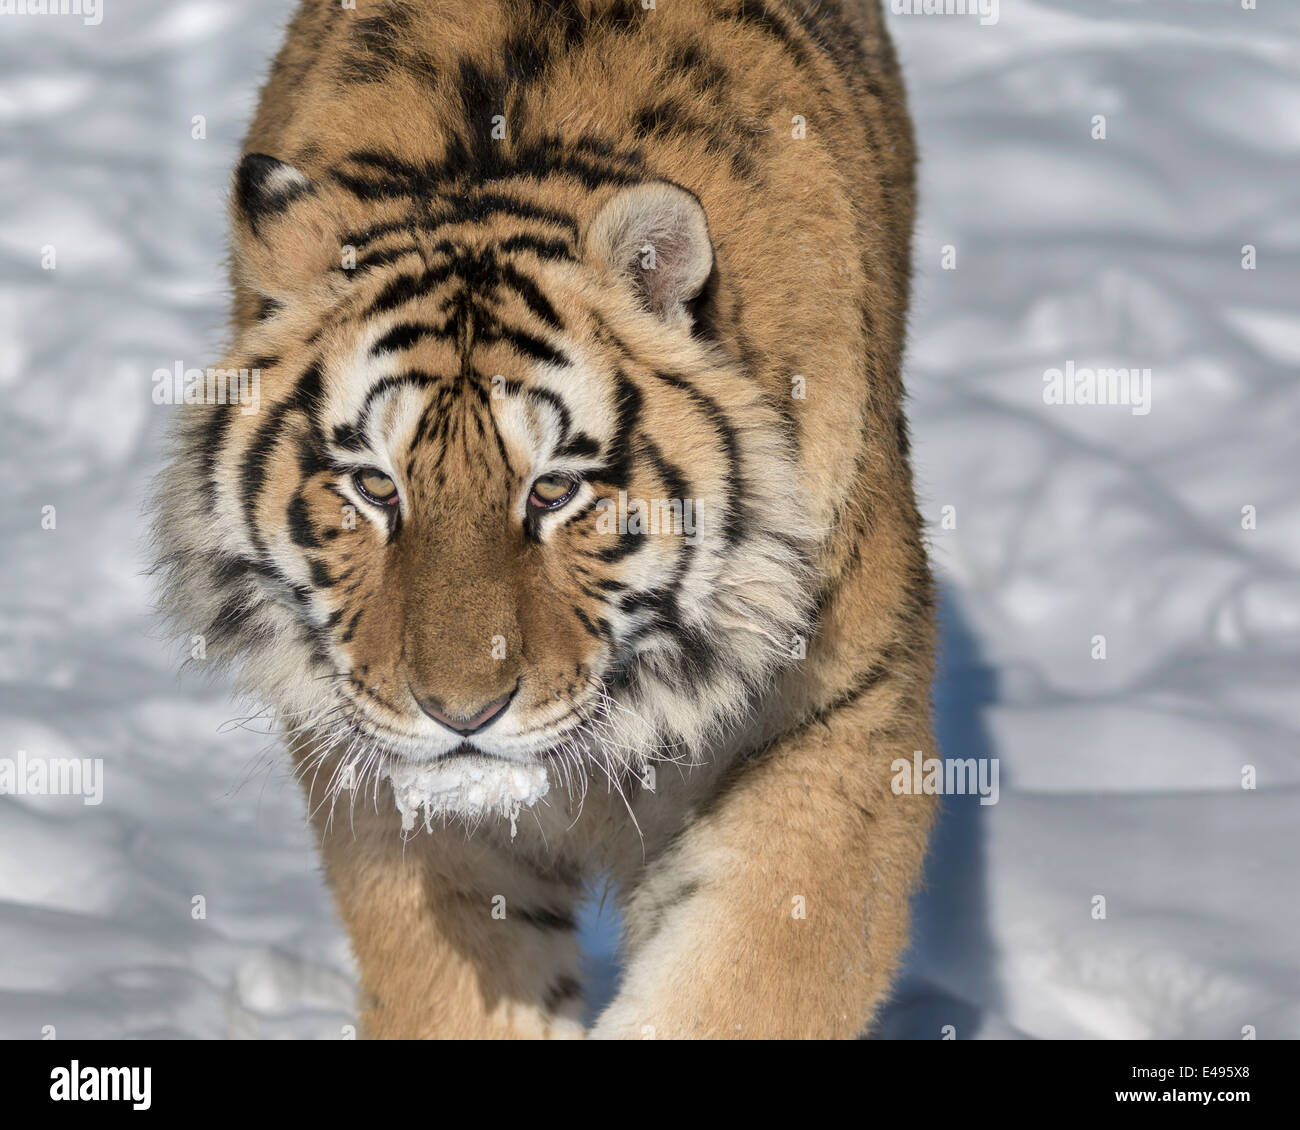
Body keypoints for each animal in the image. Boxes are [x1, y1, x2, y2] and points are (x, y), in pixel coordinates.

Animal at [151, 0, 936, 1039]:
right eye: (375, 488)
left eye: (554, 491)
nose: (460, 713)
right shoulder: (385, 790)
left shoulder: (844, 720)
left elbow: (741, 986)